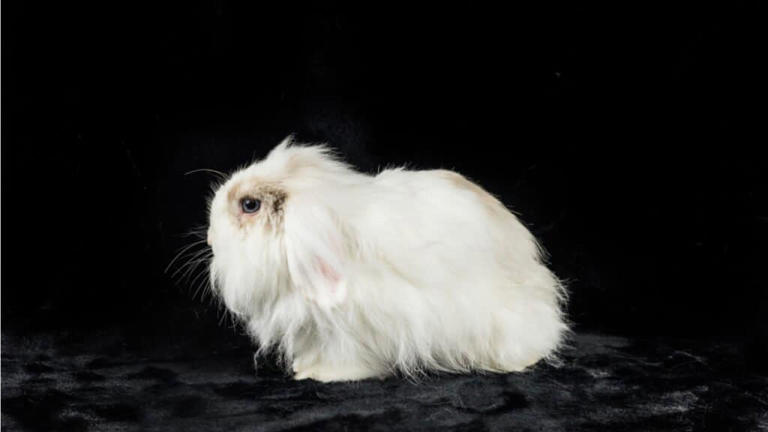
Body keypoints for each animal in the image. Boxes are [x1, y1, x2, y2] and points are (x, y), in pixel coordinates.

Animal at [206, 137, 568, 382]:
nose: (209, 235)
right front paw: (302, 366)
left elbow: (343, 356)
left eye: (249, 205)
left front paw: (319, 374)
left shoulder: (346, 332)